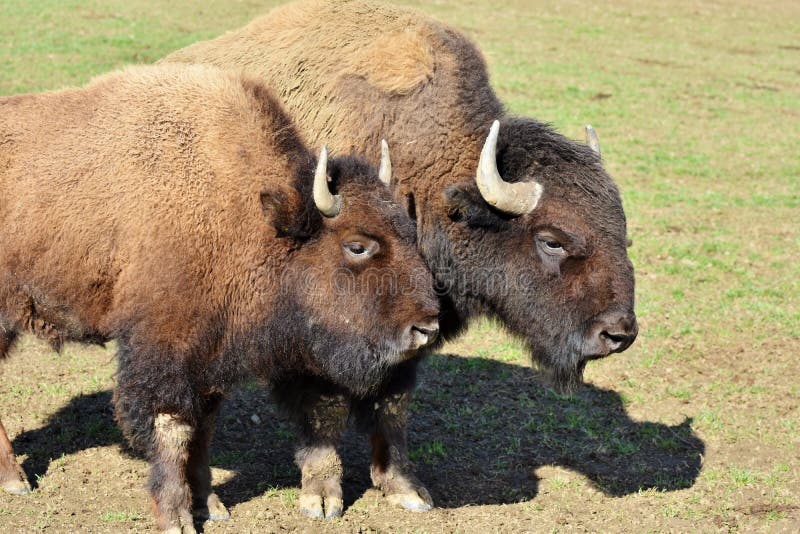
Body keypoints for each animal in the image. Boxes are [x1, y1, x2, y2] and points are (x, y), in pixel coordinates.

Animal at [0, 63, 440, 532]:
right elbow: (173, 430)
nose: (426, 327)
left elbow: (203, 430)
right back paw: (16, 480)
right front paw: (176, 517)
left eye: (410, 231)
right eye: (357, 245)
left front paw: (210, 505)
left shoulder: (210, 357)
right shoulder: (164, 352)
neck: (248, 214)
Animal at [163, 0, 640, 517]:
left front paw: (406, 489)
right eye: (552, 240)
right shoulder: (316, 336)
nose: (618, 333)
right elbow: (325, 410)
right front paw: (322, 498)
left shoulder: (412, 334)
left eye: (622, 231)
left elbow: (393, 406)